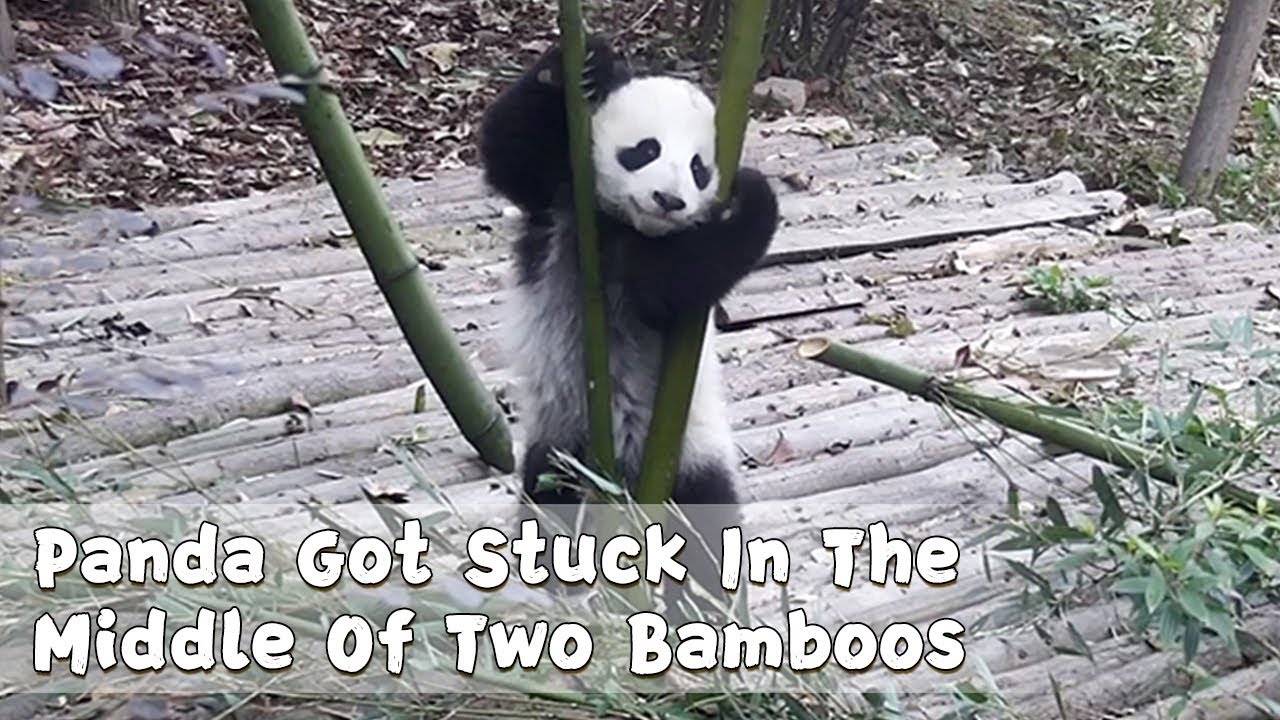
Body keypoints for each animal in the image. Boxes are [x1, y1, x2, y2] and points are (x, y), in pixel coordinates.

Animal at [478, 35, 779, 617]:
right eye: (644, 150)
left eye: (699, 169)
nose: (670, 200)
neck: (620, 225)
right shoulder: (559, 202)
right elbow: (509, 149)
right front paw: (584, 65)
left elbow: (672, 286)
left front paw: (748, 201)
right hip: (562, 444)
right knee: (550, 511)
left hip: (691, 454)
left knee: (710, 537)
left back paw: (707, 615)